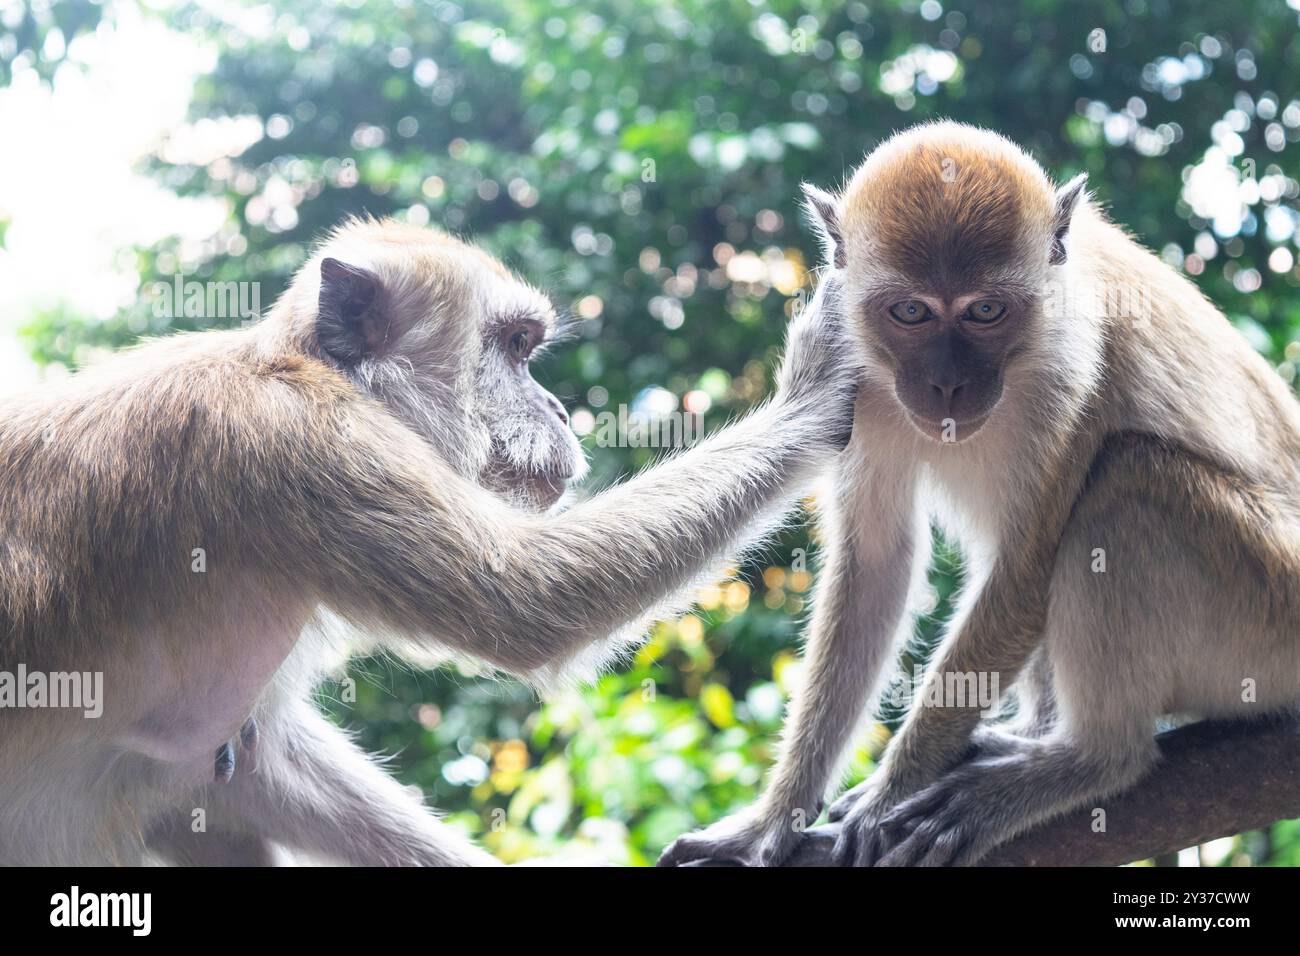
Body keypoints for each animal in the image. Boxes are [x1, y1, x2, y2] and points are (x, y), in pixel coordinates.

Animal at [0, 217, 859, 866]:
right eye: (515, 346)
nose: (558, 407)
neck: (305, 367)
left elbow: (242, 770)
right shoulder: (299, 445)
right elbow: (528, 599)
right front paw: (813, 390)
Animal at [660, 120, 1300, 868]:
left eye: (985, 311)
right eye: (911, 312)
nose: (947, 385)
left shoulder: (1076, 368)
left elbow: (1022, 575)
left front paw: (890, 791)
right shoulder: (860, 379)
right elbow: (875, 564)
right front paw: (773, 820)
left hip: (1269, 616)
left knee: (1126, 482)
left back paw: (1087, 759)